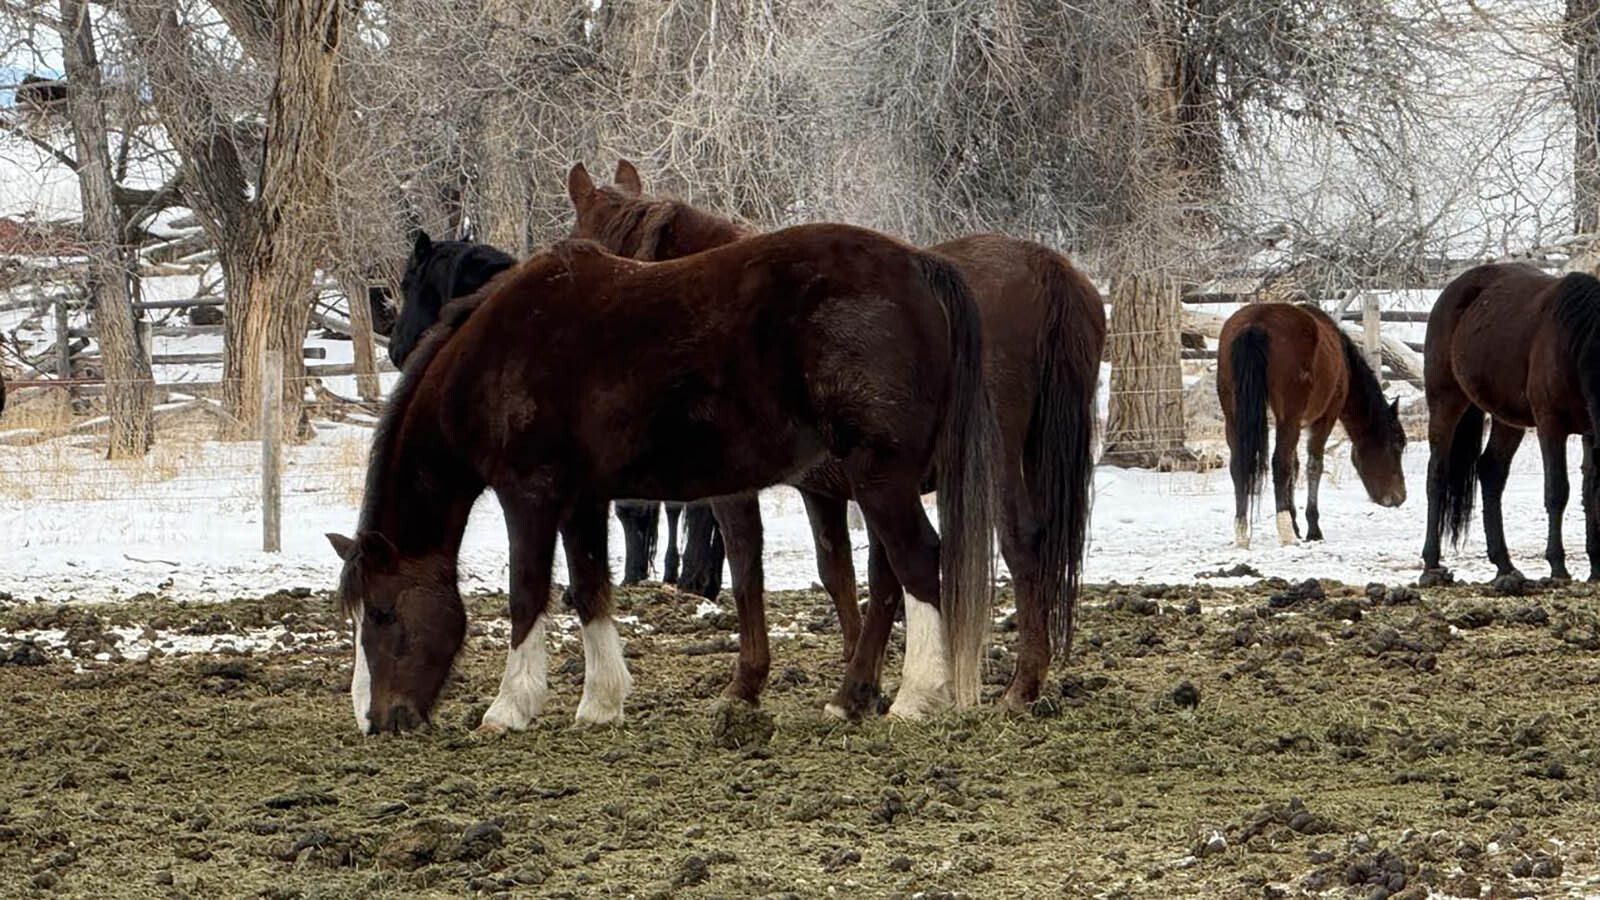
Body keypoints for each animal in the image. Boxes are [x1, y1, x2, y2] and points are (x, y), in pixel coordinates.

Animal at [569, 159, 1103, 713]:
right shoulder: (828, 490)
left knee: (1019, 543)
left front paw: (750, 682)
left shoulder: (746, 491)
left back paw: (1020, 684)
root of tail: (1046, 267)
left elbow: (748, 565)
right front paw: (860, 679)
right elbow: (843, 572)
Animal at [1217, 302, 1407, 549]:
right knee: (1279, 464)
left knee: (1240, 464)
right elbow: (1312, 466)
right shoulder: (1323, 418)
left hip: (1233, 416)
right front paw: (1312, 528)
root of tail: (1256, 324)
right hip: (1287, 417)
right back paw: (1285, 533)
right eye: (1398, 445)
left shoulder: (1296, 424)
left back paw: (1242, 532)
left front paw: (1296, 523)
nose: (1400, 497)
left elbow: (1295, 466)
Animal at [1420, 263, 1600, 585]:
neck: (1573, 344)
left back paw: (1504, 565)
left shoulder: (1590, 431)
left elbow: (1589, 491)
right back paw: (1431, 563)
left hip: (1507, 419)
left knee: (1491, 471)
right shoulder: (1550, 425)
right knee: (1437, 474)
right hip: (1445, 401)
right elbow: (1557, 491)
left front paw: (1596, 569)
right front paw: (1558, 567)